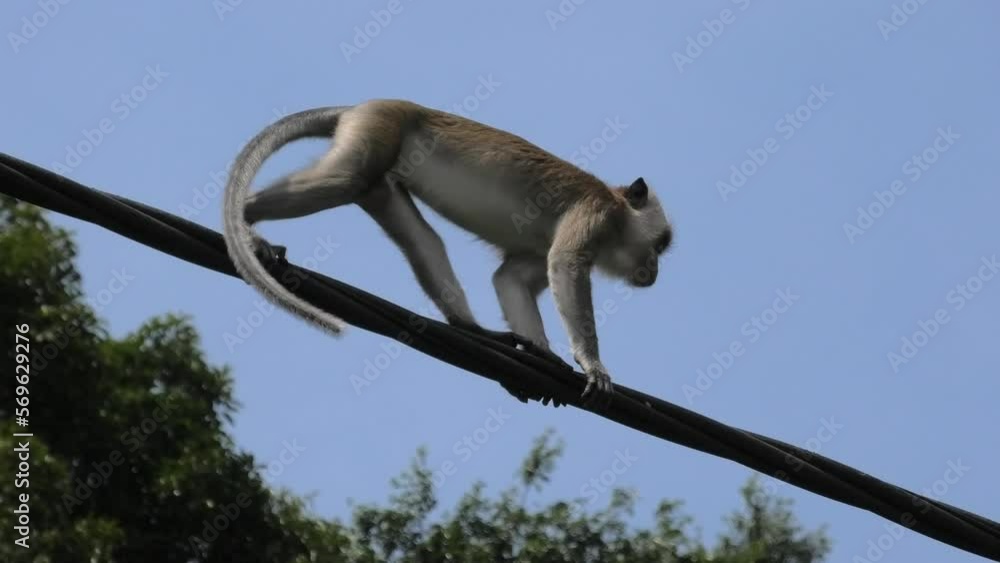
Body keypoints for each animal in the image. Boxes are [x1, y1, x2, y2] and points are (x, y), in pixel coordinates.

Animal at [222, 100, 673, 403]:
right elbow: (565, 265)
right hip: (379, 129)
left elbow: (510, 279)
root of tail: (359, 107)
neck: (618, 212)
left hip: (380, 173)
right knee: (346, 179)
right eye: (661, 245)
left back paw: (469, 327)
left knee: (420, 236)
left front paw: (543, 358)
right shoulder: (593, 214)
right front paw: (593, 365)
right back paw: (246, 223)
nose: (654, 270)